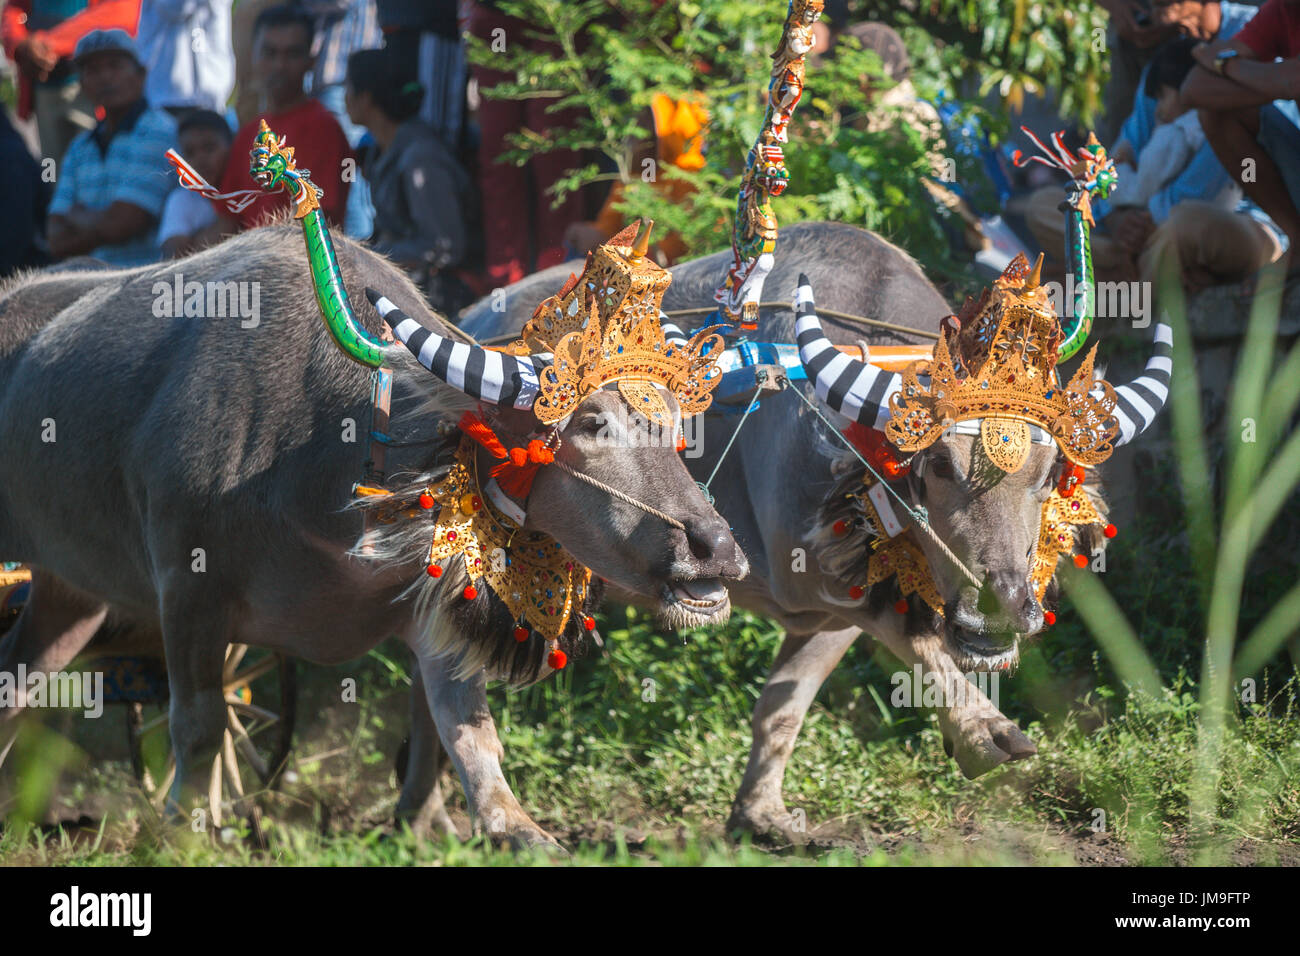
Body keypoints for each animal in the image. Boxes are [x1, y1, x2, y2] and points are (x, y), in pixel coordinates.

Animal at [0, 220, 747, 847]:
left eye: (676, 425)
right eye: (591, 424)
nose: (716, 547)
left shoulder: (427, 605)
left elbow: (466, 734)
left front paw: (501, 828)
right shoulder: (187, 591)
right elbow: (199, 725)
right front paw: (184, 830)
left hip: (67, 596)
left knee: (17, 677)